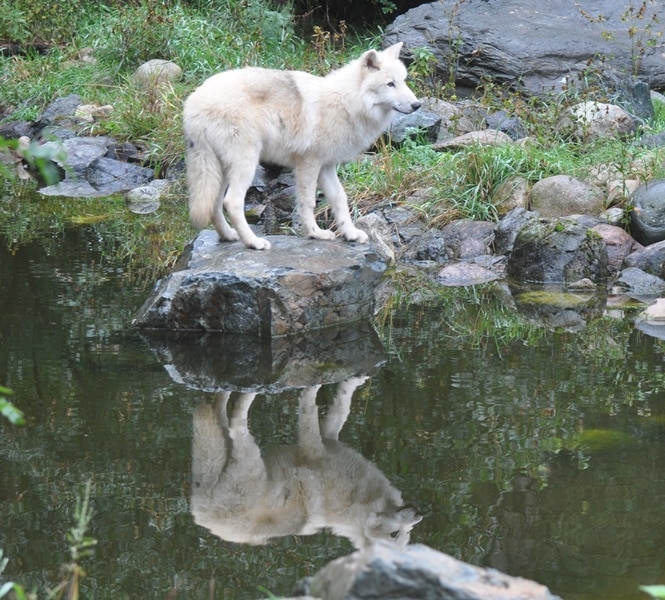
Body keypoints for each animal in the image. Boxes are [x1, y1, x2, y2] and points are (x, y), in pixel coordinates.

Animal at [183, 42, 421, 250]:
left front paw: (351, 234)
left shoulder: (327, 166)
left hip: (220, 170)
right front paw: (316, 233)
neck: (347, 102)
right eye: (390, 84)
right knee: (231, 202)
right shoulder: (309, 163)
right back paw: (254, 242)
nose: (417, 105)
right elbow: (308, 202)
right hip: (246, 164)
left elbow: (340, 199)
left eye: (404, 81)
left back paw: (228, 236)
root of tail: (193, 102)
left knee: (215, 204)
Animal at [190, 378, 422, 549]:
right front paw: (316, 383)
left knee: (221, 410)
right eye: (394, 534)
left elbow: (343, 405)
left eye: (407, 533)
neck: (356, 501)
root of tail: (201, 512)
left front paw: (358, 378)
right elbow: (313, 403)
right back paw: (252, 393)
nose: (420, 515)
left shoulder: (329, 438)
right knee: (237, 420)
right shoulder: (313, 445)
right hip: (251, 457)